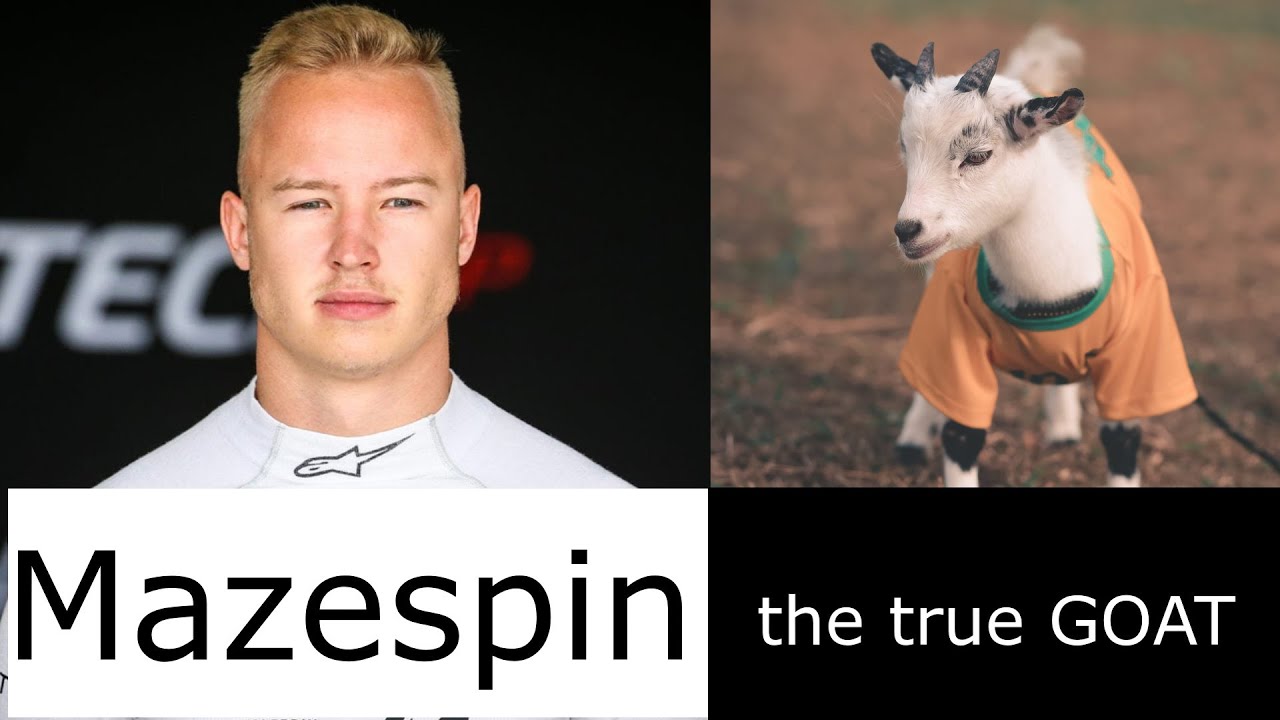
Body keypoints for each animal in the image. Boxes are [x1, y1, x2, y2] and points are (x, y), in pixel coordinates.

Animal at [871, 27, 1198, 488]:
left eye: (977, 155)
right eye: (904, 148)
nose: (907, 231)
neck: (1048, 294)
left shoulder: (1137, 356)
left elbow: (1123, 440)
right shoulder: (955, 334)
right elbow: (961, 431)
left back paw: (1063, 430)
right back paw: (913, 440)